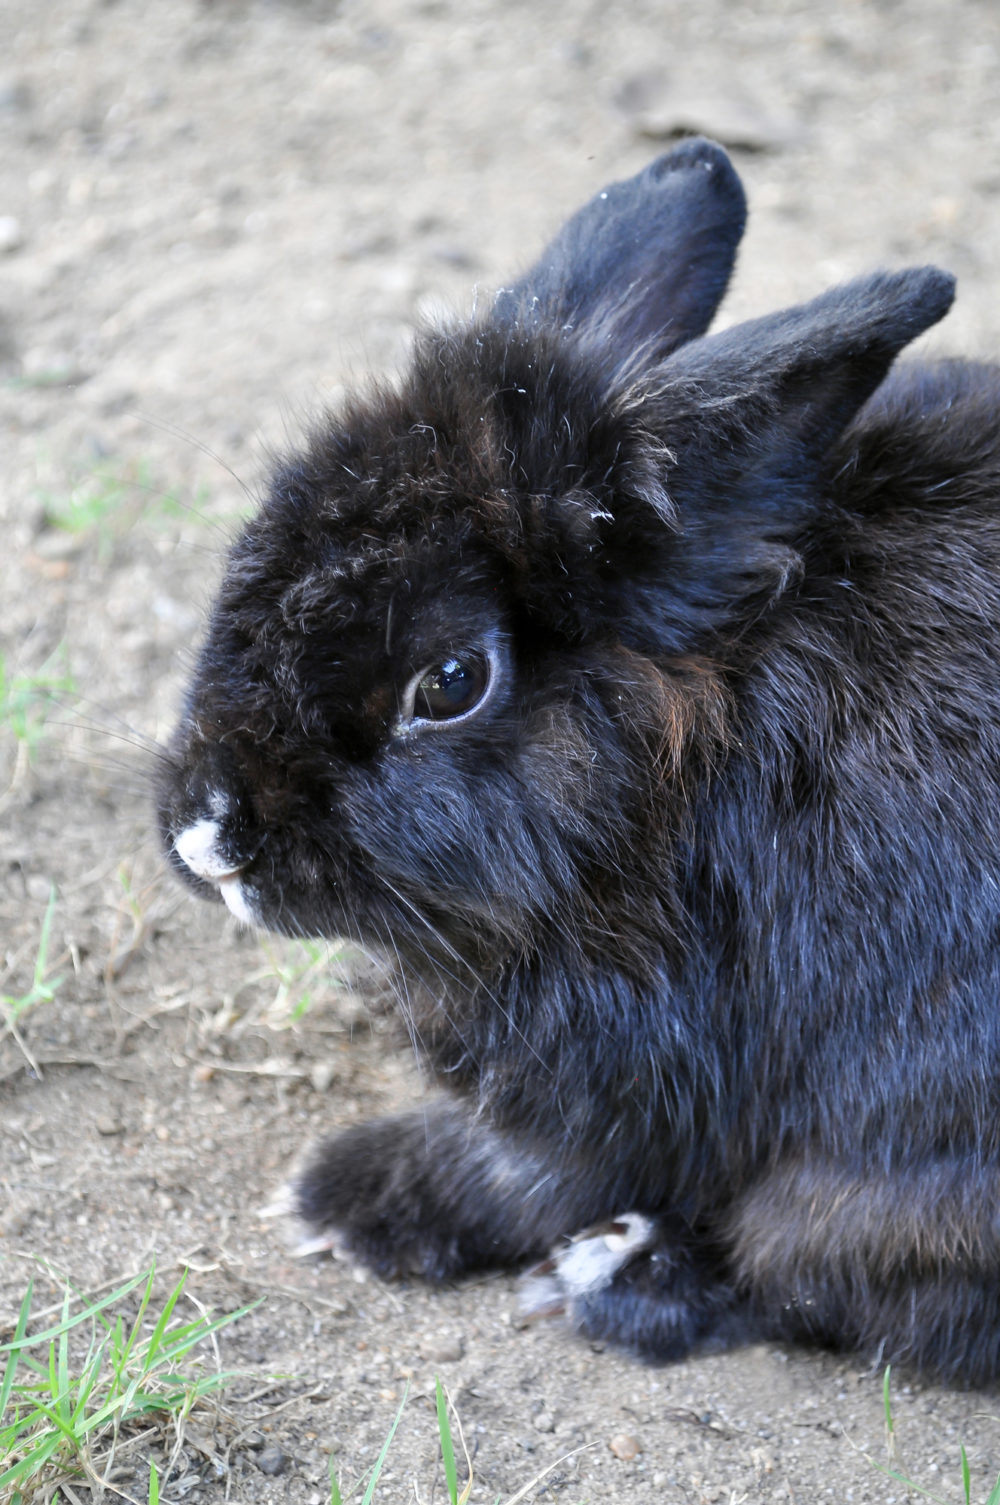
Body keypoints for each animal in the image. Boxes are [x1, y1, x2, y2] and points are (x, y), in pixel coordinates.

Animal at [156, 135, 1000, 1382]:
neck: (664, 777)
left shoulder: (627, 1072)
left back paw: (618, 1278)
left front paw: (343, 1198)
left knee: (825, 1273)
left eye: (450, 681)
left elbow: (525, 1174)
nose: (207, 830)